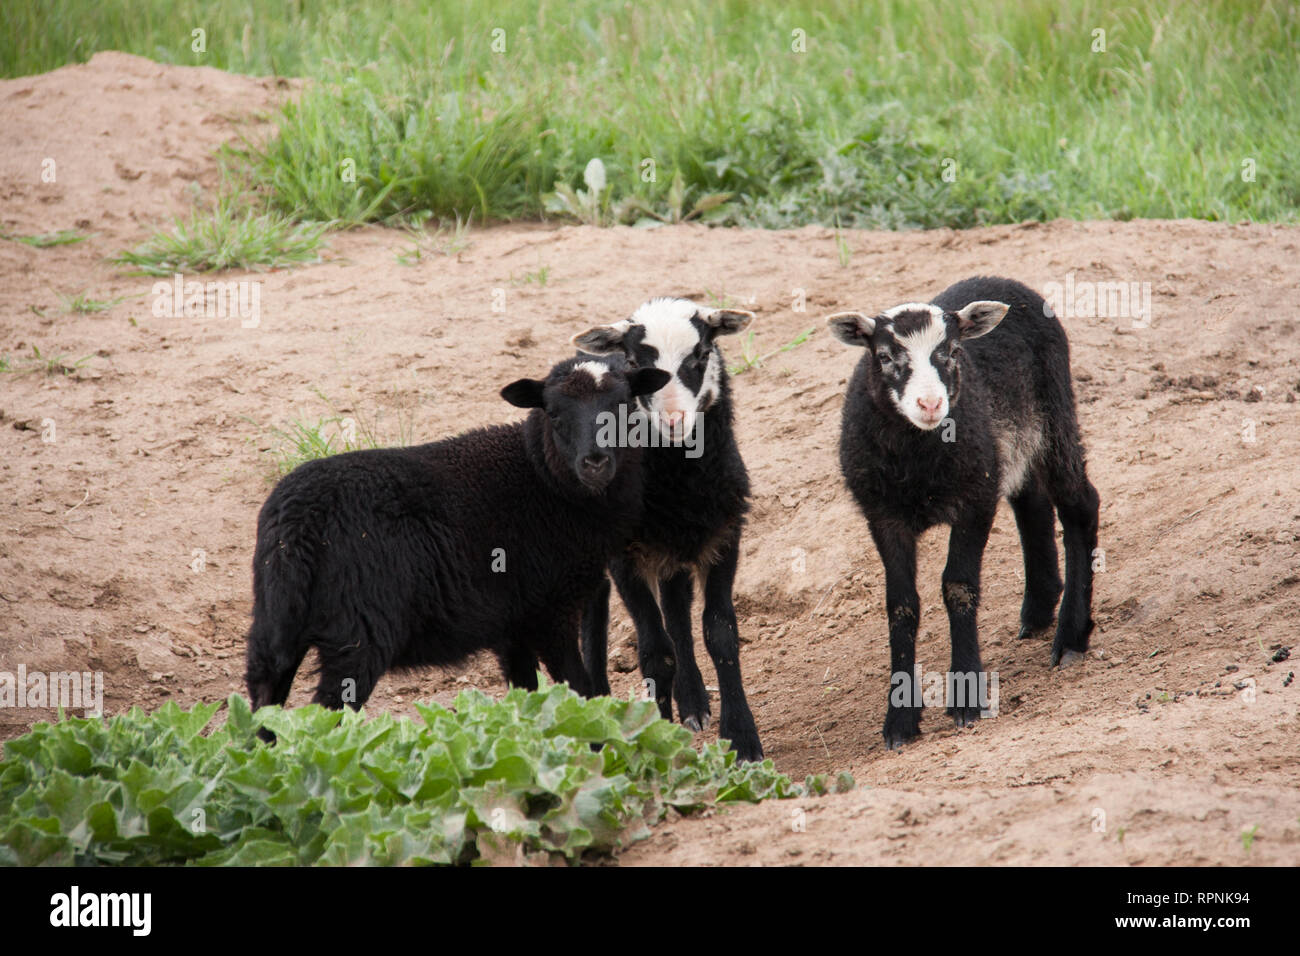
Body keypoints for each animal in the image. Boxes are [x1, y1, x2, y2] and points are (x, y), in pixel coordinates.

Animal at [243, 355, 671, 727]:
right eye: (553, 413)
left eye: (622, 404)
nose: (594, 462)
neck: (542, 479)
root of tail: (296, 519)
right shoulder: (551, 611)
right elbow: (581, 692)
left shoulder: (514, 622)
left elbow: (526, 692)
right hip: (356, 635)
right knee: (323, 714)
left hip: (275, 624)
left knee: (263, 703)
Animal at [570, 297, 764, 761]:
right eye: (635, 363)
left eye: (701, 355)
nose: (675, 421)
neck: (680, 481)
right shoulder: (625, 556)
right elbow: (654, 651)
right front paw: (654, 739)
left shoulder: (723, 538)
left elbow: (719, 634)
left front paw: (742, 738)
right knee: (597, 615)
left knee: (677, 615)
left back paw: (693, 702)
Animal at [827, 276, 1100, 749]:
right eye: (885, 357)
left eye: (953, 352)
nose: (931, 404)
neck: (917, 458)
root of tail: (1006, 282)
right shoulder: (883, 516)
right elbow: (901, 605)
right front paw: (900, 720)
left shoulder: (975, 499)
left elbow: (958, 587)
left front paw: (967, 699)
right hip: (1011, 441)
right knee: (1031, 502)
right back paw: (1038, 609)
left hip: (1053, 417)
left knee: (1080, 508)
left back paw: (1070, 637)